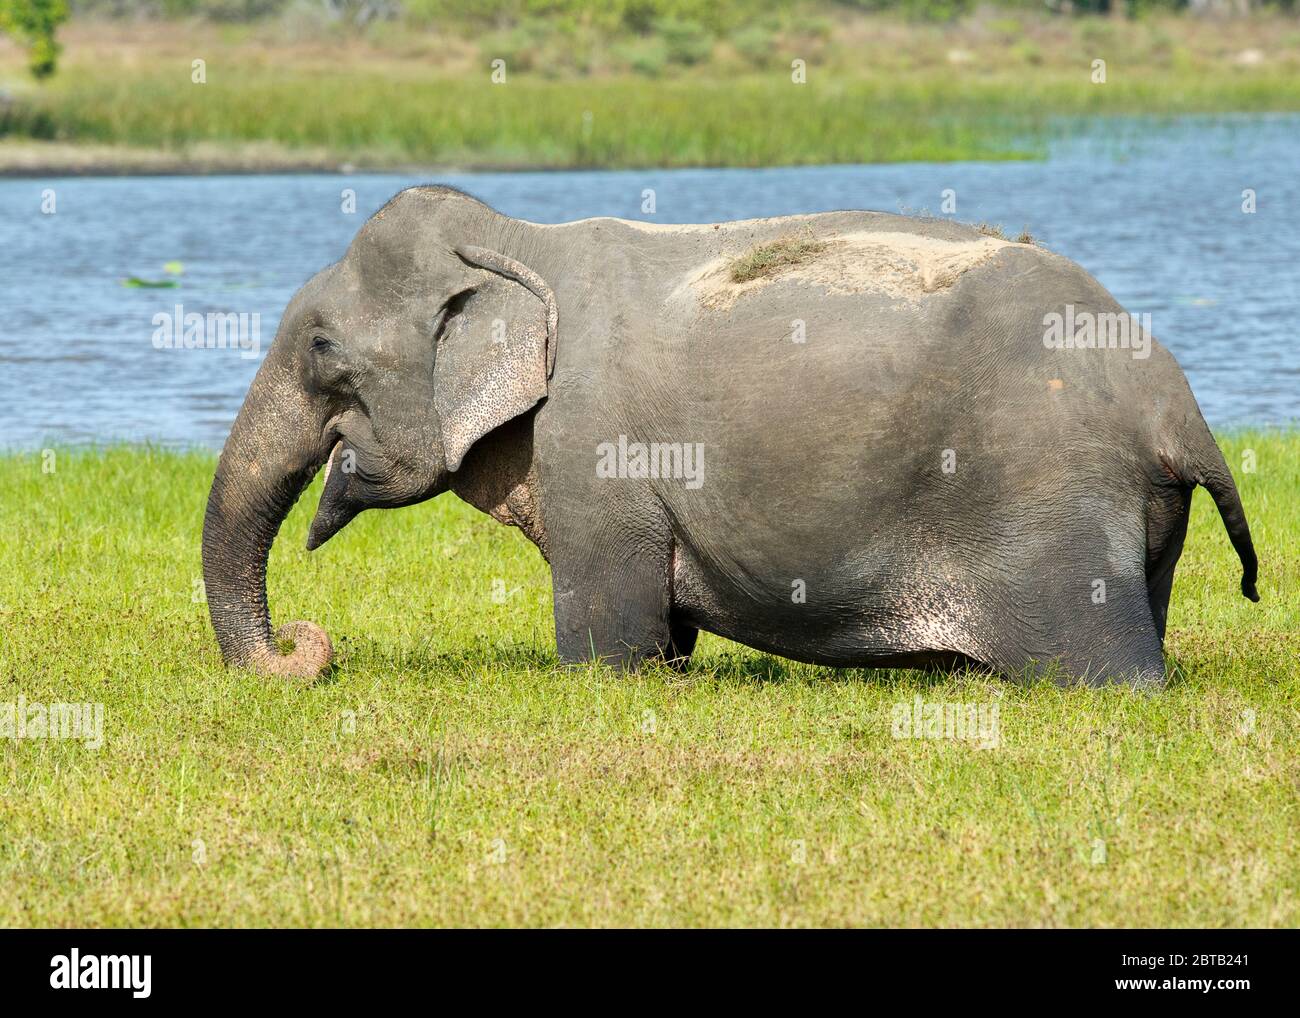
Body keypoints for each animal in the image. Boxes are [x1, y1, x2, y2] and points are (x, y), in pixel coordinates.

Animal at [201, 185, 1259, 687]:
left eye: (323, 349)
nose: (303, 647)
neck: (519, 240)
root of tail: (1177, 405)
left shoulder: (594, 448)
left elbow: (614, 648)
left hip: (1049, 502)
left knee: (1111, 669)